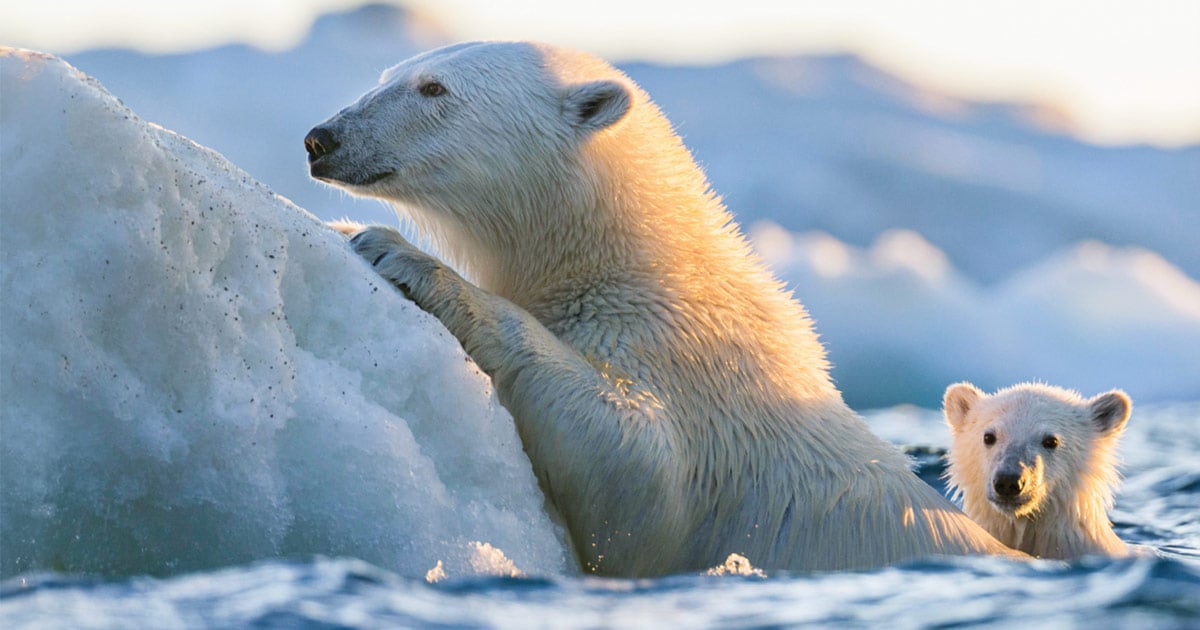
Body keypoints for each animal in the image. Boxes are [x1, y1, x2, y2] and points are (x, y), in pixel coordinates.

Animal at [304, 41, 1018, 576]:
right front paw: (346, 227)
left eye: (434, 89)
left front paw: (393, 250)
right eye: (387, 77)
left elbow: (636, 473)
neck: (632, 265)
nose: (321, 138)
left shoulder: (689, 377)